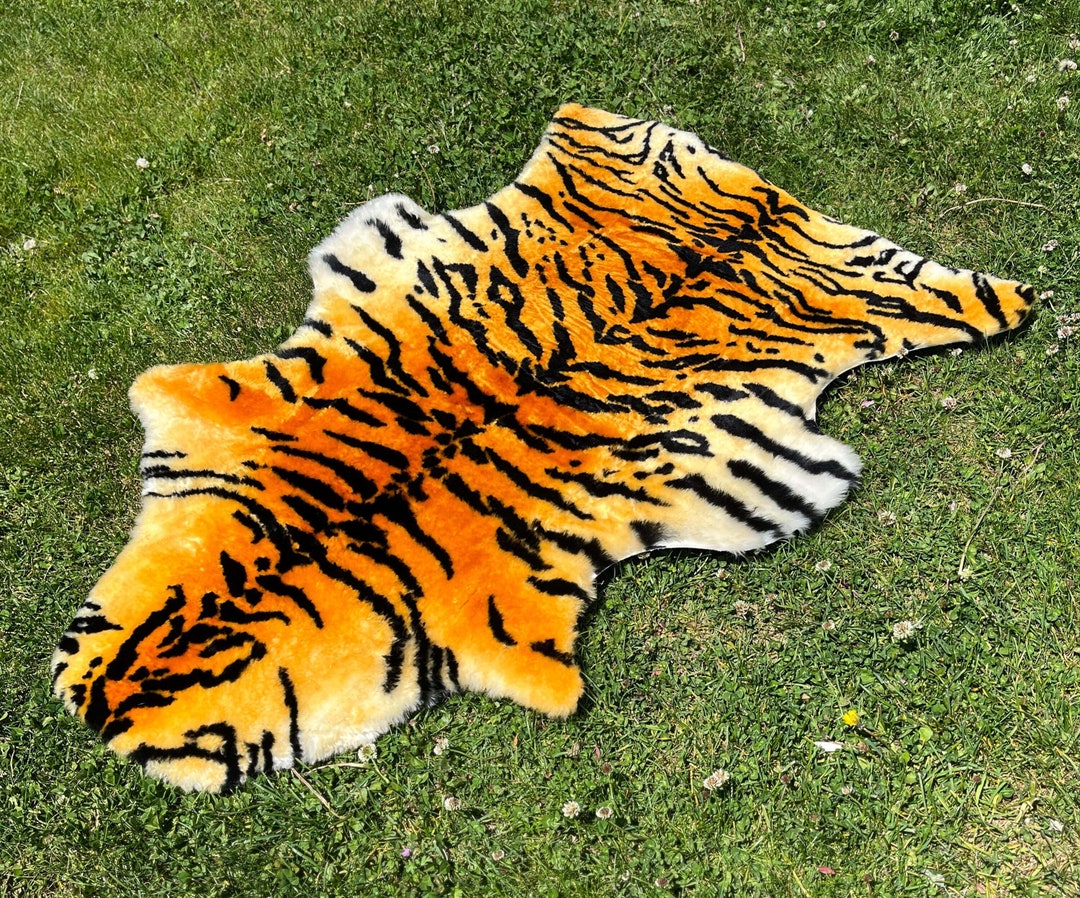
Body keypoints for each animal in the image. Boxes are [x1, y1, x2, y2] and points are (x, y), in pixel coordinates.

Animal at [52, 104, 1034, 792]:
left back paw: (1006, 294)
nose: (90, 713)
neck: (322, 539)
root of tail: (765, 201)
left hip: (885, 289)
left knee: (941, 289)